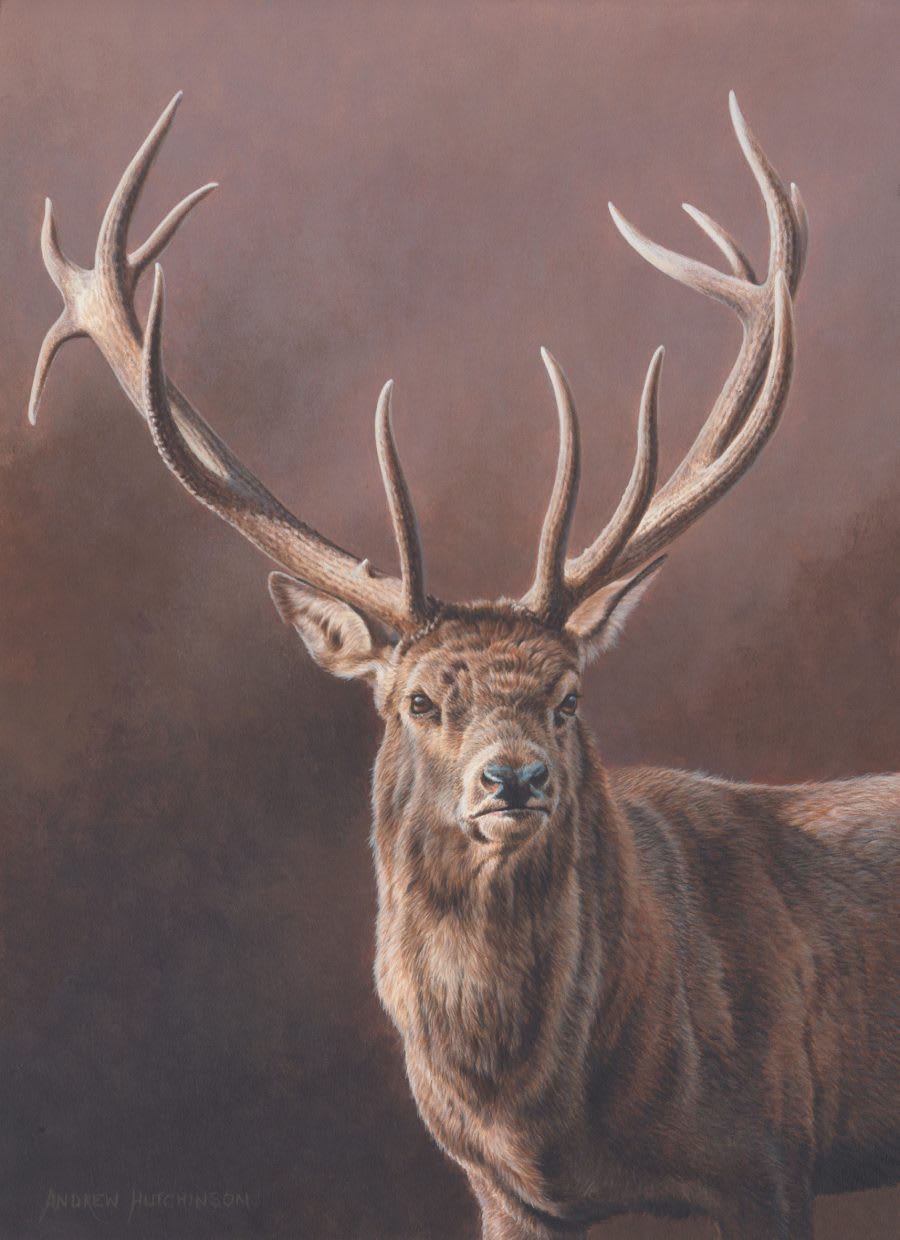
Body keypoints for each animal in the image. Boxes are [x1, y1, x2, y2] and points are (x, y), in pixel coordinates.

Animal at [27, 92, 899, 1240]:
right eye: (417, 700)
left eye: (570, 698)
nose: (514, 777)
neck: (550, 1110)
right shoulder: (501, 1188)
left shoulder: (771, 1153)